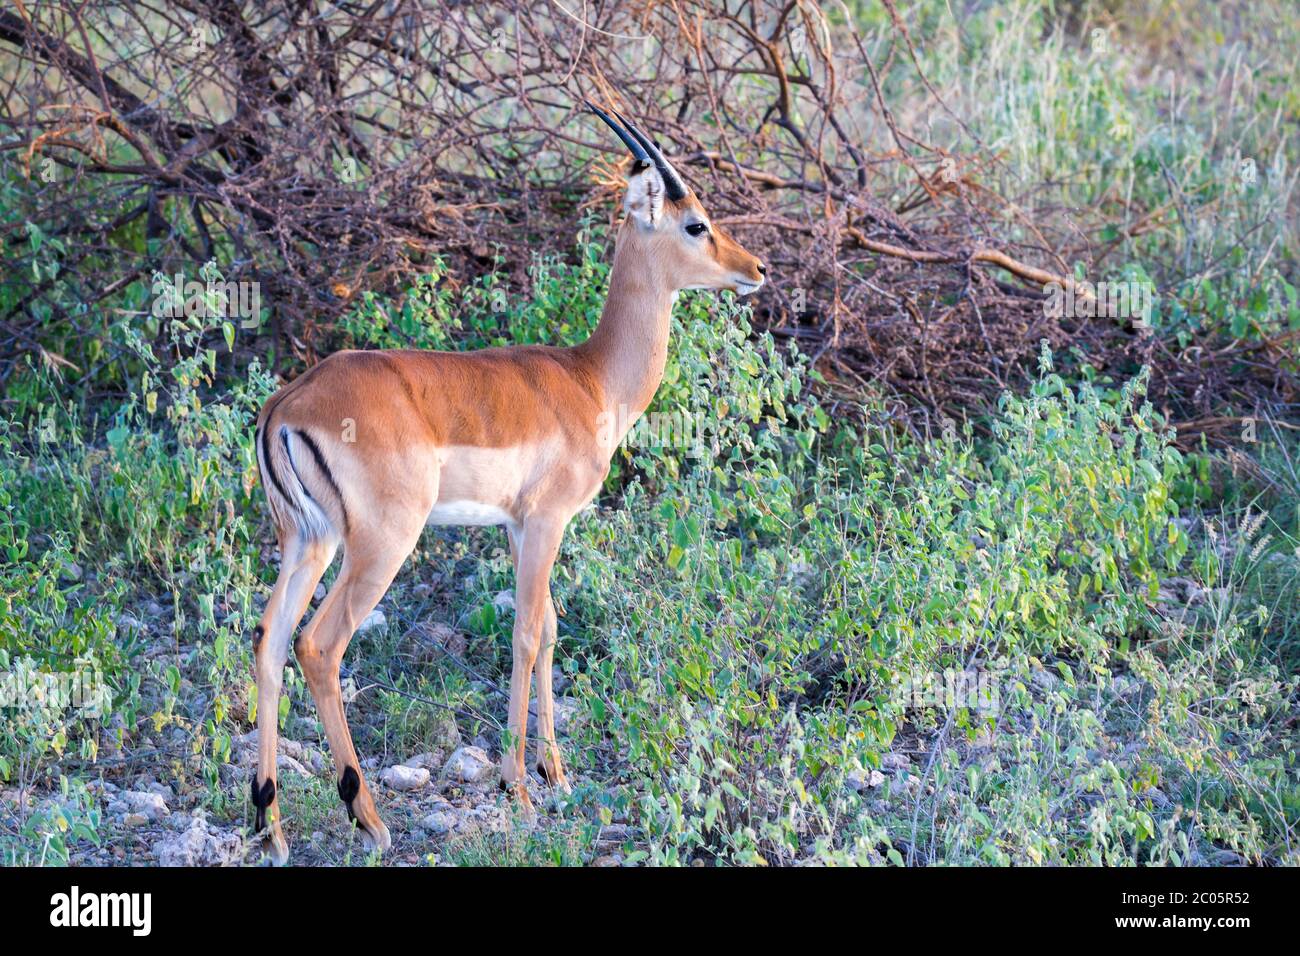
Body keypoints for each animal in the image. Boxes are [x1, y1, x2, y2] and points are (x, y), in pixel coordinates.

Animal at [248, 102, 766, 863]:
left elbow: (549, 629)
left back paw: (270, 826)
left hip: (307, 542)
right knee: (319, 646)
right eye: (695, 223)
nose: (755, 268)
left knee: (270, 641)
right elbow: (525, 633)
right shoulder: (546, 521)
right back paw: (369, 818)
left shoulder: (522, 527)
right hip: (380, 545)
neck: (591, 379)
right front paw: (518, 788)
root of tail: (287, 405)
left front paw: (559, 773)